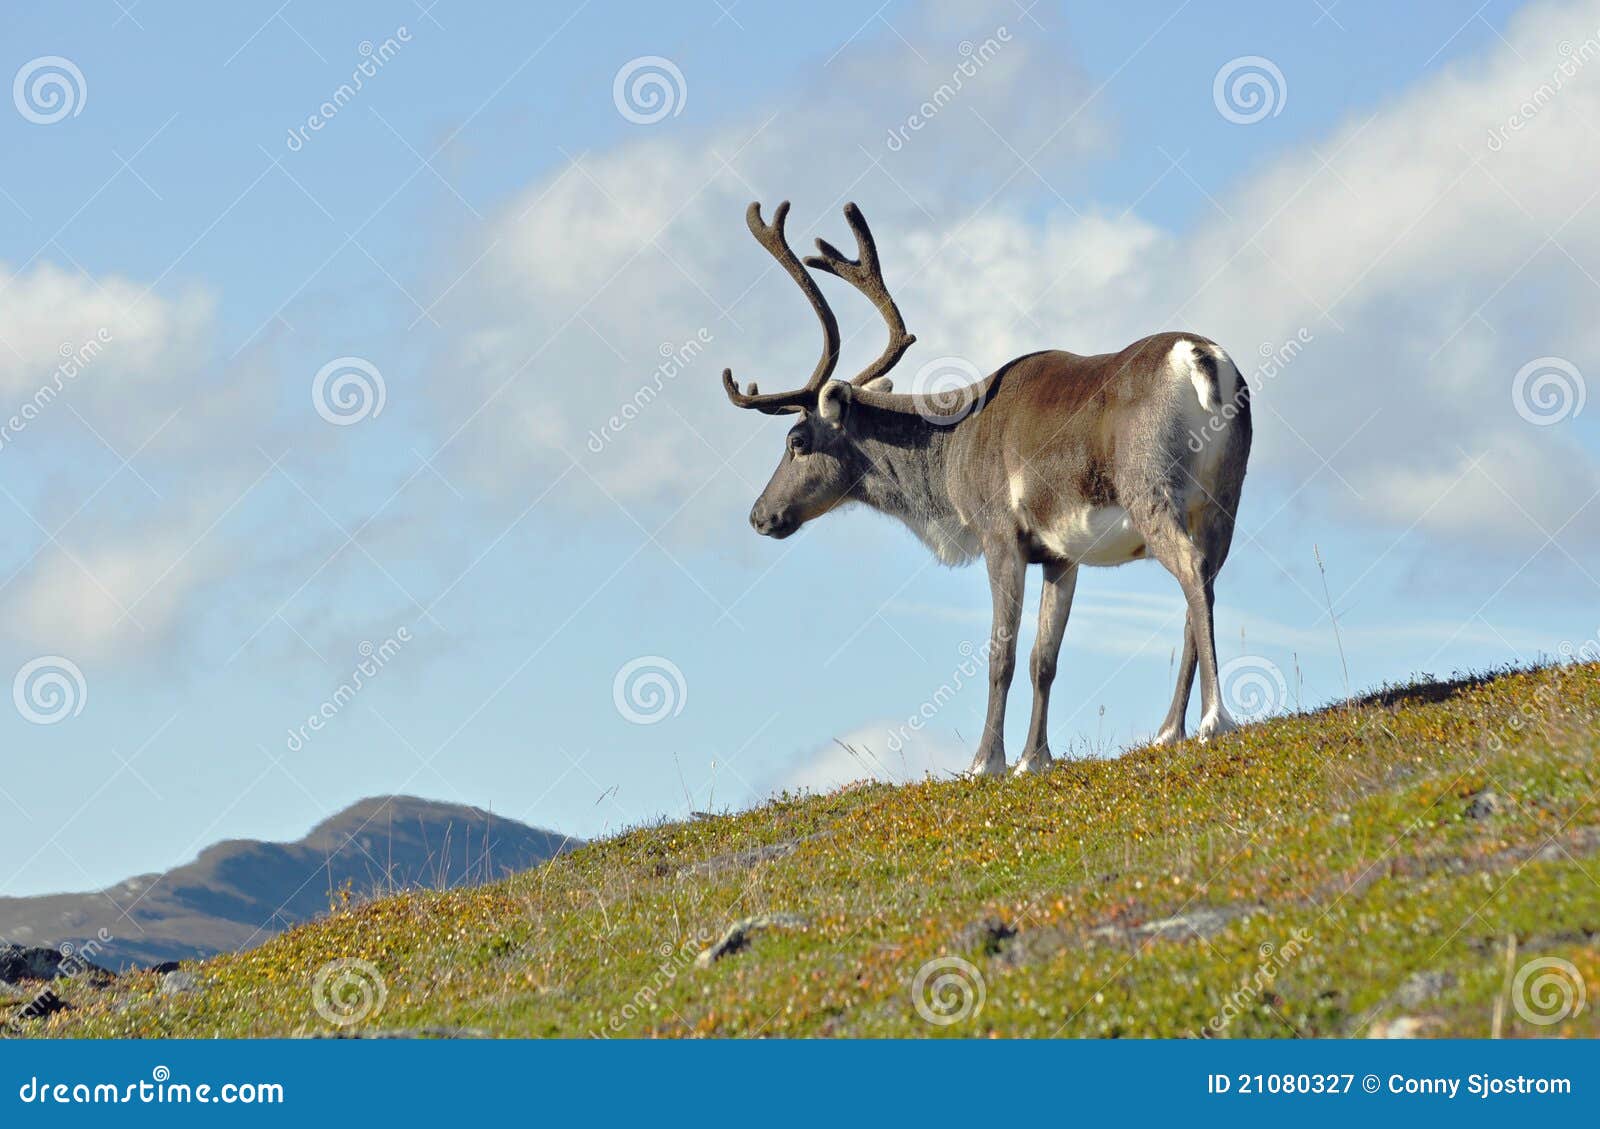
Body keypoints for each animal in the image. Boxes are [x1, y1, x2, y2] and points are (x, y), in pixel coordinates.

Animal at [721, 201, 1252, 777]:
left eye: (795, 440)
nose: (759, 515)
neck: (951, 452)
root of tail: (1201, 358)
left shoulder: (1000, 534)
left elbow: (1002, 655)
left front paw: (985, 761)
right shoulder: (1060, 555)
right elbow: (1045, 658)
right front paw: (1034, 759)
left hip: (1150, 491)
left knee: (1192, 572)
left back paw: (1213, 719)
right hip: (1223, 502)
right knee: (1202, 583)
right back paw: (1167, 730)